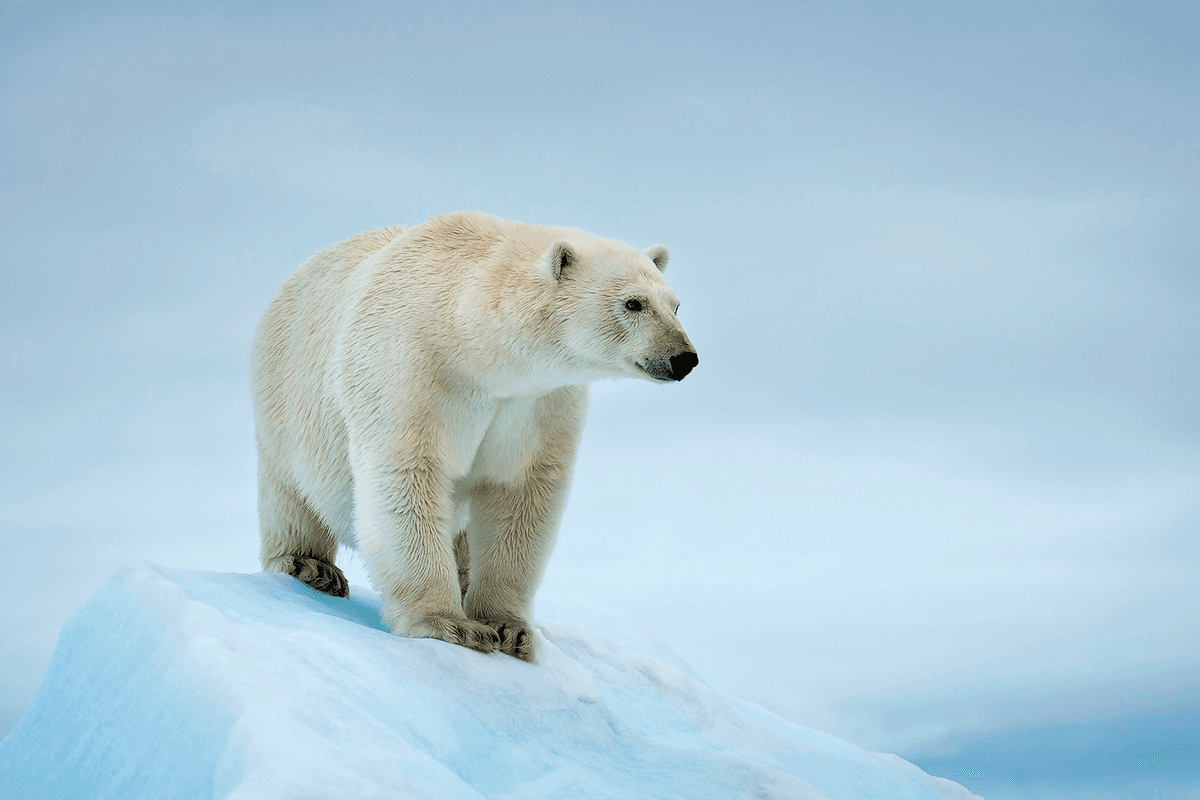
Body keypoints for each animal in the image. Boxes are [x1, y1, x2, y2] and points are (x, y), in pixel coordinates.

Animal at [250, 211, 697, 661]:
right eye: (633, 303)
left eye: (675, 305)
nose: (684, 358)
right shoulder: (409, 369)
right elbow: (407, 476)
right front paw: (449, 624)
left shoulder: (538, 404)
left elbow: (522, 494)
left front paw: (510, 630)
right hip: (287, 396)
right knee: (290, 492)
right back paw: (311, 567)